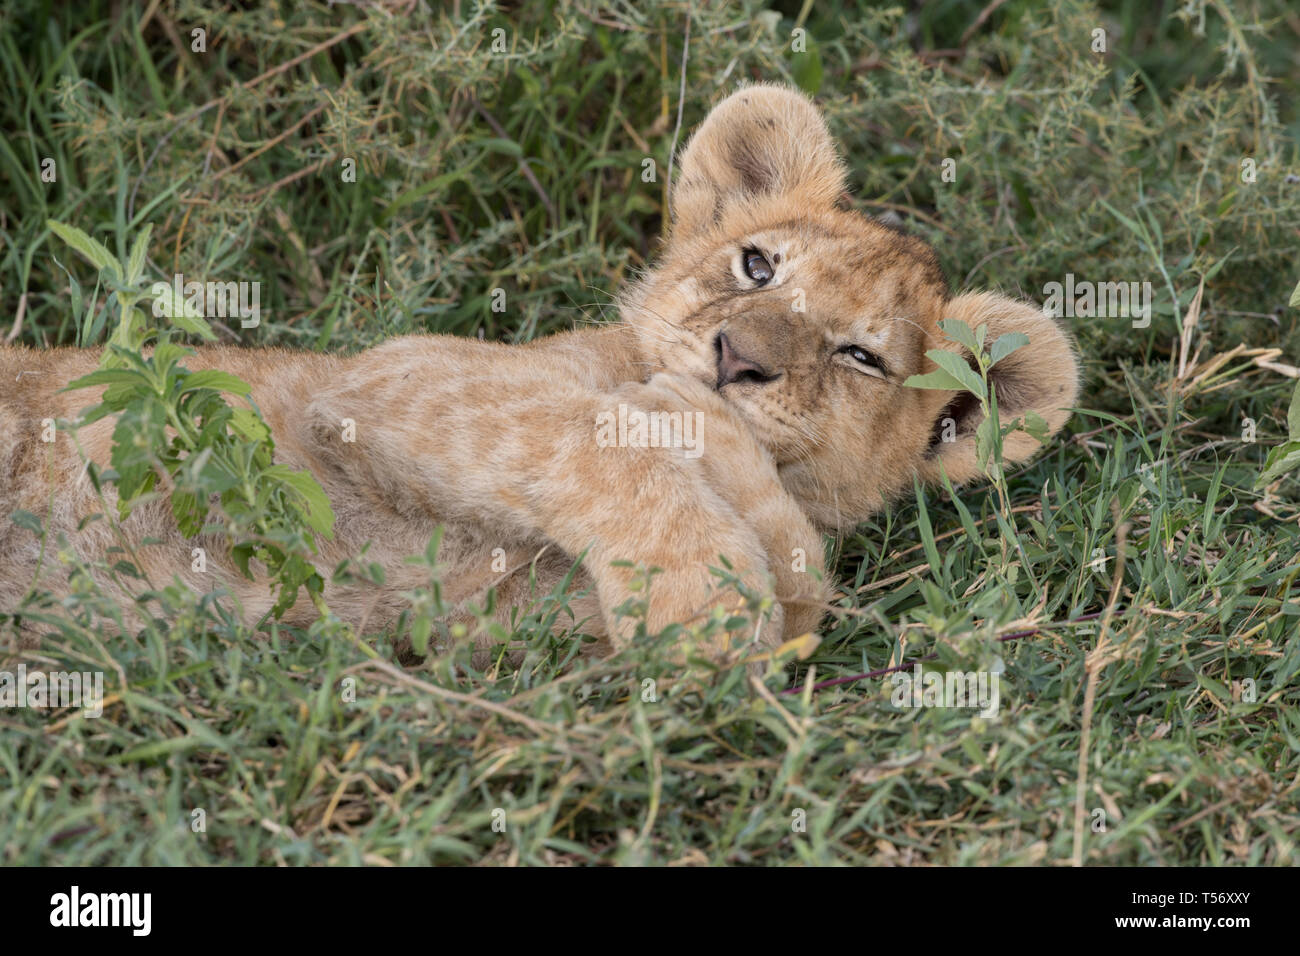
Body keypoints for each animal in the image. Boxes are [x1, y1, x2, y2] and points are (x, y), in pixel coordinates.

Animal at [0, 83, 1079, 662]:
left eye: (859, 355)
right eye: (756, 266)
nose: (736, 360)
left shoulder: (514, 622)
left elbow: (804, 579)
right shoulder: (392, 378)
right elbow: (591, 434)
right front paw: (705, 591)